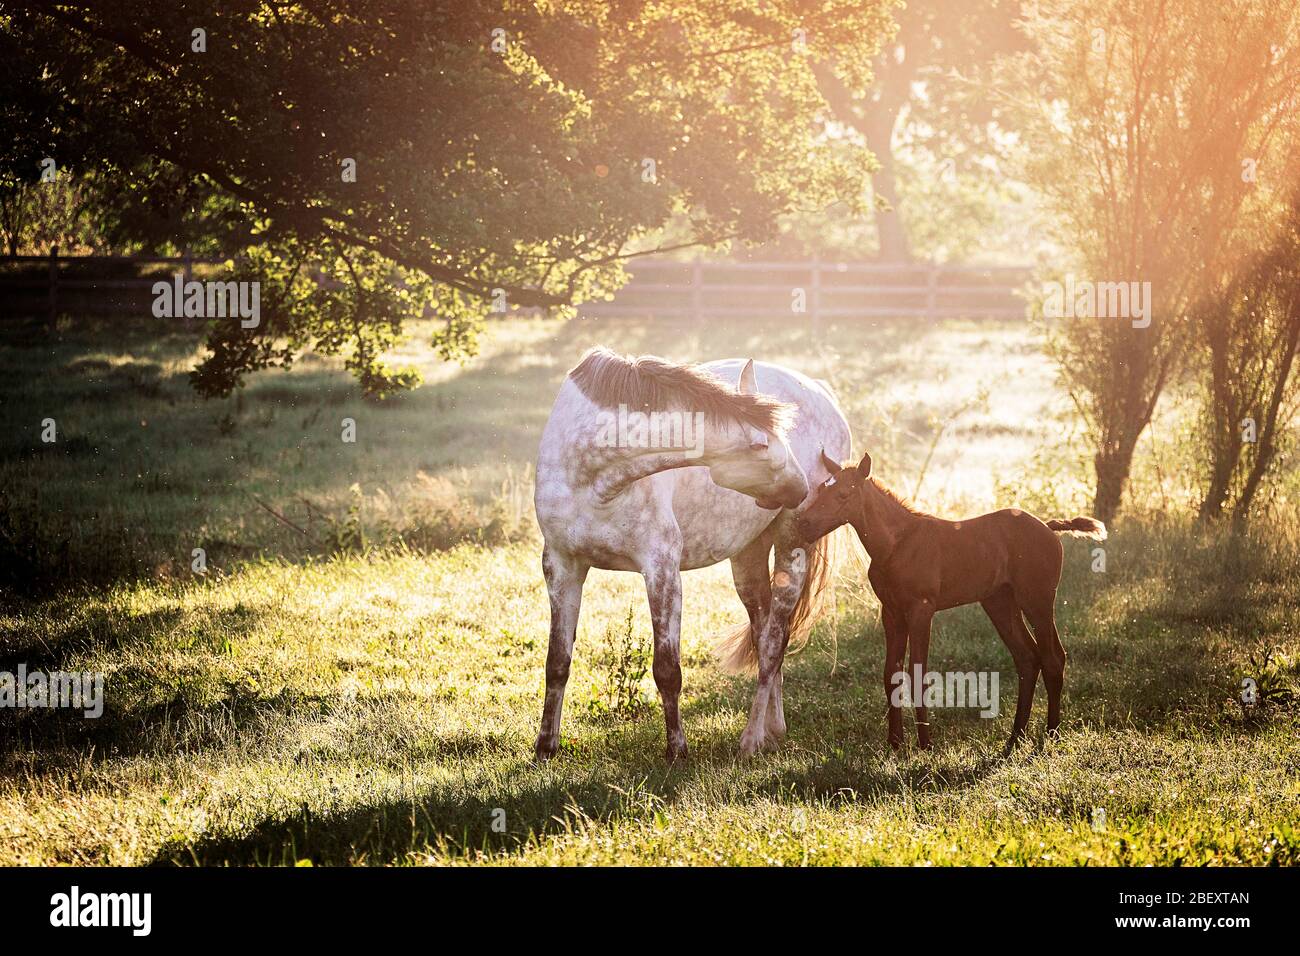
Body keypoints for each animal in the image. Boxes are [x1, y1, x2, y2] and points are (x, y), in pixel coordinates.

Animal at [533, 347, 852, 761]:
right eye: (760, 445)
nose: (802, 492)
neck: (593, 479)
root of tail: (823, 393)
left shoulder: (662, 571)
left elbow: (667, 670)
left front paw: (677, 751)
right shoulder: (561, 566)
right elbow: (557, 662)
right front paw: (545, 746)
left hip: (791, 549)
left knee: (772, 644)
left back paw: (751, 739)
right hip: (748, 557)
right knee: (765, 634)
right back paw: (772, 729)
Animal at [794, 450, 1106, 753]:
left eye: (843, 494)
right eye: (821, 488)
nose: (803, 524)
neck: (897, 543)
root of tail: (1048, 527)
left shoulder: (921, 610)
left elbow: (917, 672)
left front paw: (925, 745)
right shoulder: (891, 612)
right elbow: (890, 673)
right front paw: (895, 745)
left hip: (1037, 600)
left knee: (1053, 658)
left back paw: (1051, 734)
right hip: (1000, 603)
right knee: (1028, 658)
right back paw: (1015, 738)